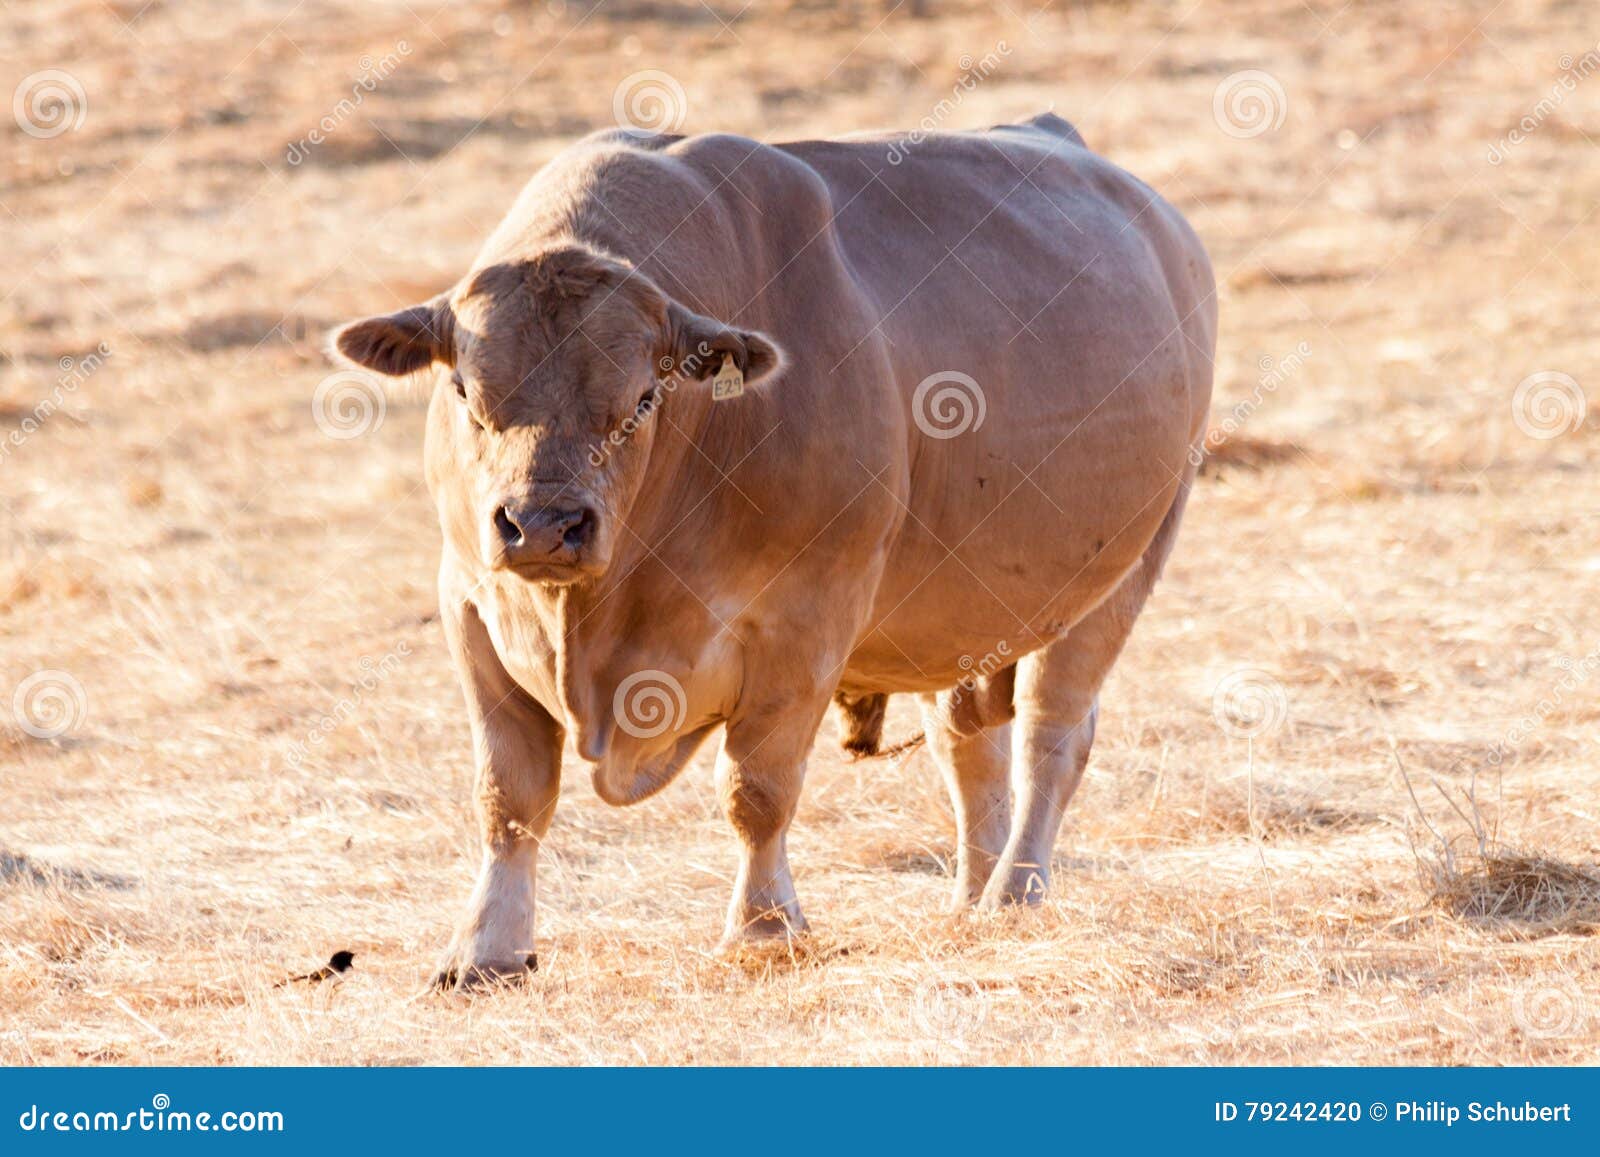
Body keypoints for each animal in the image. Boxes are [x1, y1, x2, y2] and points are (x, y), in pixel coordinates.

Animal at [333, 112, 1216, 989]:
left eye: (644, 398)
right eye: (463, 391)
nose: (544, 524)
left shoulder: (807, 620)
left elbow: (756, 791)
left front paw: (762, 928)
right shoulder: (470, 605)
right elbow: (508, 794)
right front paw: (485, 948)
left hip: (1125, 570)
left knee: (1050, 738)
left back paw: (1013, 893)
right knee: (970, 747)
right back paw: (971, 897)